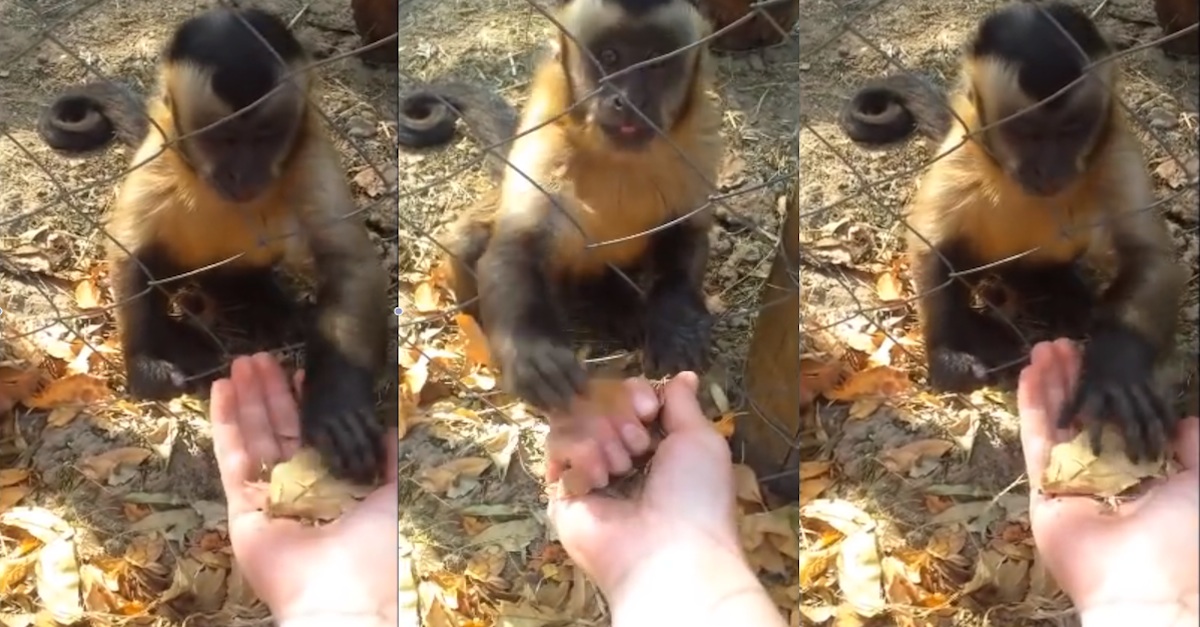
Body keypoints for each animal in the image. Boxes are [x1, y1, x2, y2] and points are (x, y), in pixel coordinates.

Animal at [35, 7, 390, 484]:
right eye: (223, 139)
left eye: (265, 136)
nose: (243, 174)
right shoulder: (161, 152)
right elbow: (129, 251)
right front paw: (145, 360)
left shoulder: (309, 152)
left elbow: (349, 263)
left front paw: (337, 403)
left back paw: (257, 298)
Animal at [398, 0, 723, 413]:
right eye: (610, 57)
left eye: (654, 60)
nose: (628, 98)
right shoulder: (546, 138)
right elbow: (513, 251)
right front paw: (533, 354)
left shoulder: (696, 139)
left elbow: (686, 231)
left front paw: (676, 322)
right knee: (471, 241)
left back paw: (615, 304)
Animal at [837, 2, 1187, 463]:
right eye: (1025, 132)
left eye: (1071, 129)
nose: (1050, 169)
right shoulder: (964, 147)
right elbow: (929, 241)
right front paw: (949, 352)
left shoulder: (1114, 151)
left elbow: (1150, 256)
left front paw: (1117, 364)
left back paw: (1058, 290)